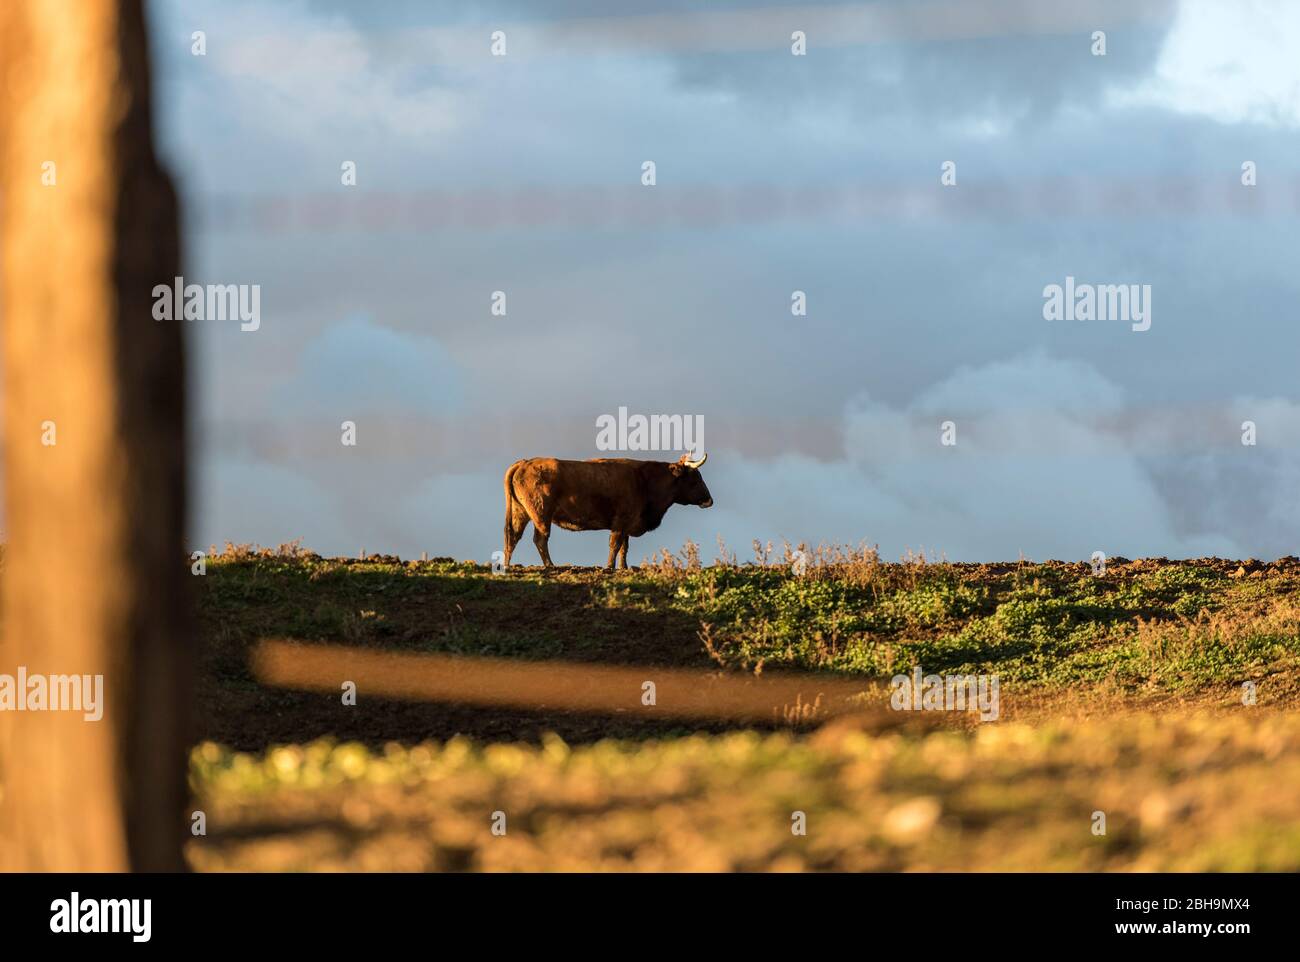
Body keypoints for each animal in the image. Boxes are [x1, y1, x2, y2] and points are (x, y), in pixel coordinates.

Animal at [503, 452, 713, 570]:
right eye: (695, 478)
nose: (709, 500)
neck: (644, 480)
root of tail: (525, 462)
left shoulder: (628, 522)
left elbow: (624, 548)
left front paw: (624, 567)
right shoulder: (621, 521)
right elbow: (615, 545)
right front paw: (610, 567)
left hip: (520, 512)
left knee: (512, 536)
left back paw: (507, 565)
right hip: (541, 515)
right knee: (540, 539)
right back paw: (550, 565)